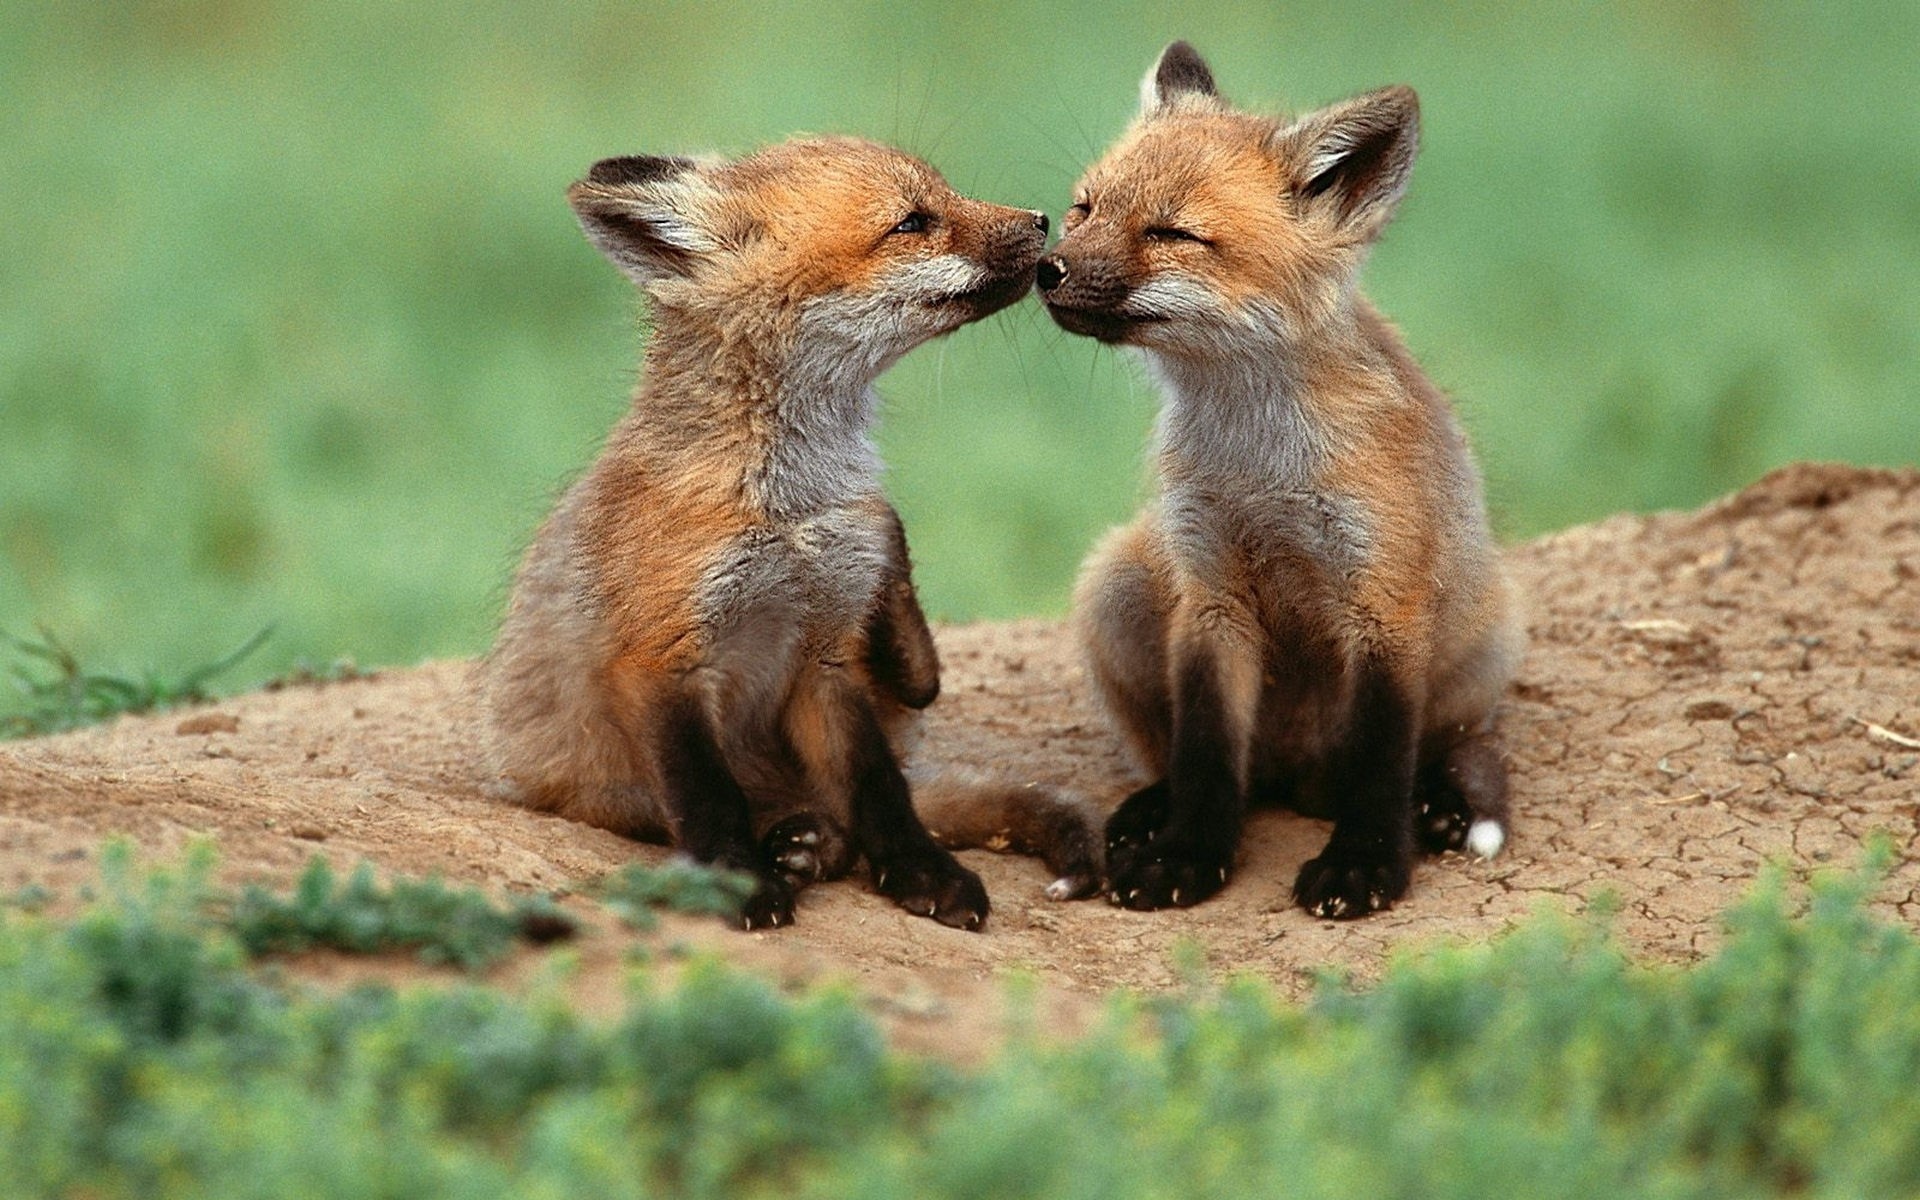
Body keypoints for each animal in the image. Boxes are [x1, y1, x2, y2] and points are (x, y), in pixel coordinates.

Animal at [484, 136, 1101, 931]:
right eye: (912, 222)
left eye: (942, 194)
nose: (1042, 220)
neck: (792, 510)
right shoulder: (660, 661)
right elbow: (709, 799)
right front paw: (739, 886)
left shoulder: (827, 653)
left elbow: (880, 791)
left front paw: (923, 874)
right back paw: (795, 844)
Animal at [1038, 43, 1523, 919]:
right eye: (1084, 209)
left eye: (1172, 233)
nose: (1044, 268)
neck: (1257, 463)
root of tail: (1297, 775)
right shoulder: (1209, 588)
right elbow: (1204, 755)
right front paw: (1188, 855)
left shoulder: (1385, 602)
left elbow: (1378, 763)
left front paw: (1365, 867)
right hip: (1115, 581)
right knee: (1220, 769)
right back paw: (1153, 808)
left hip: (1484, 637)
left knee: (1438, 747)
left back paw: (1433, 802)